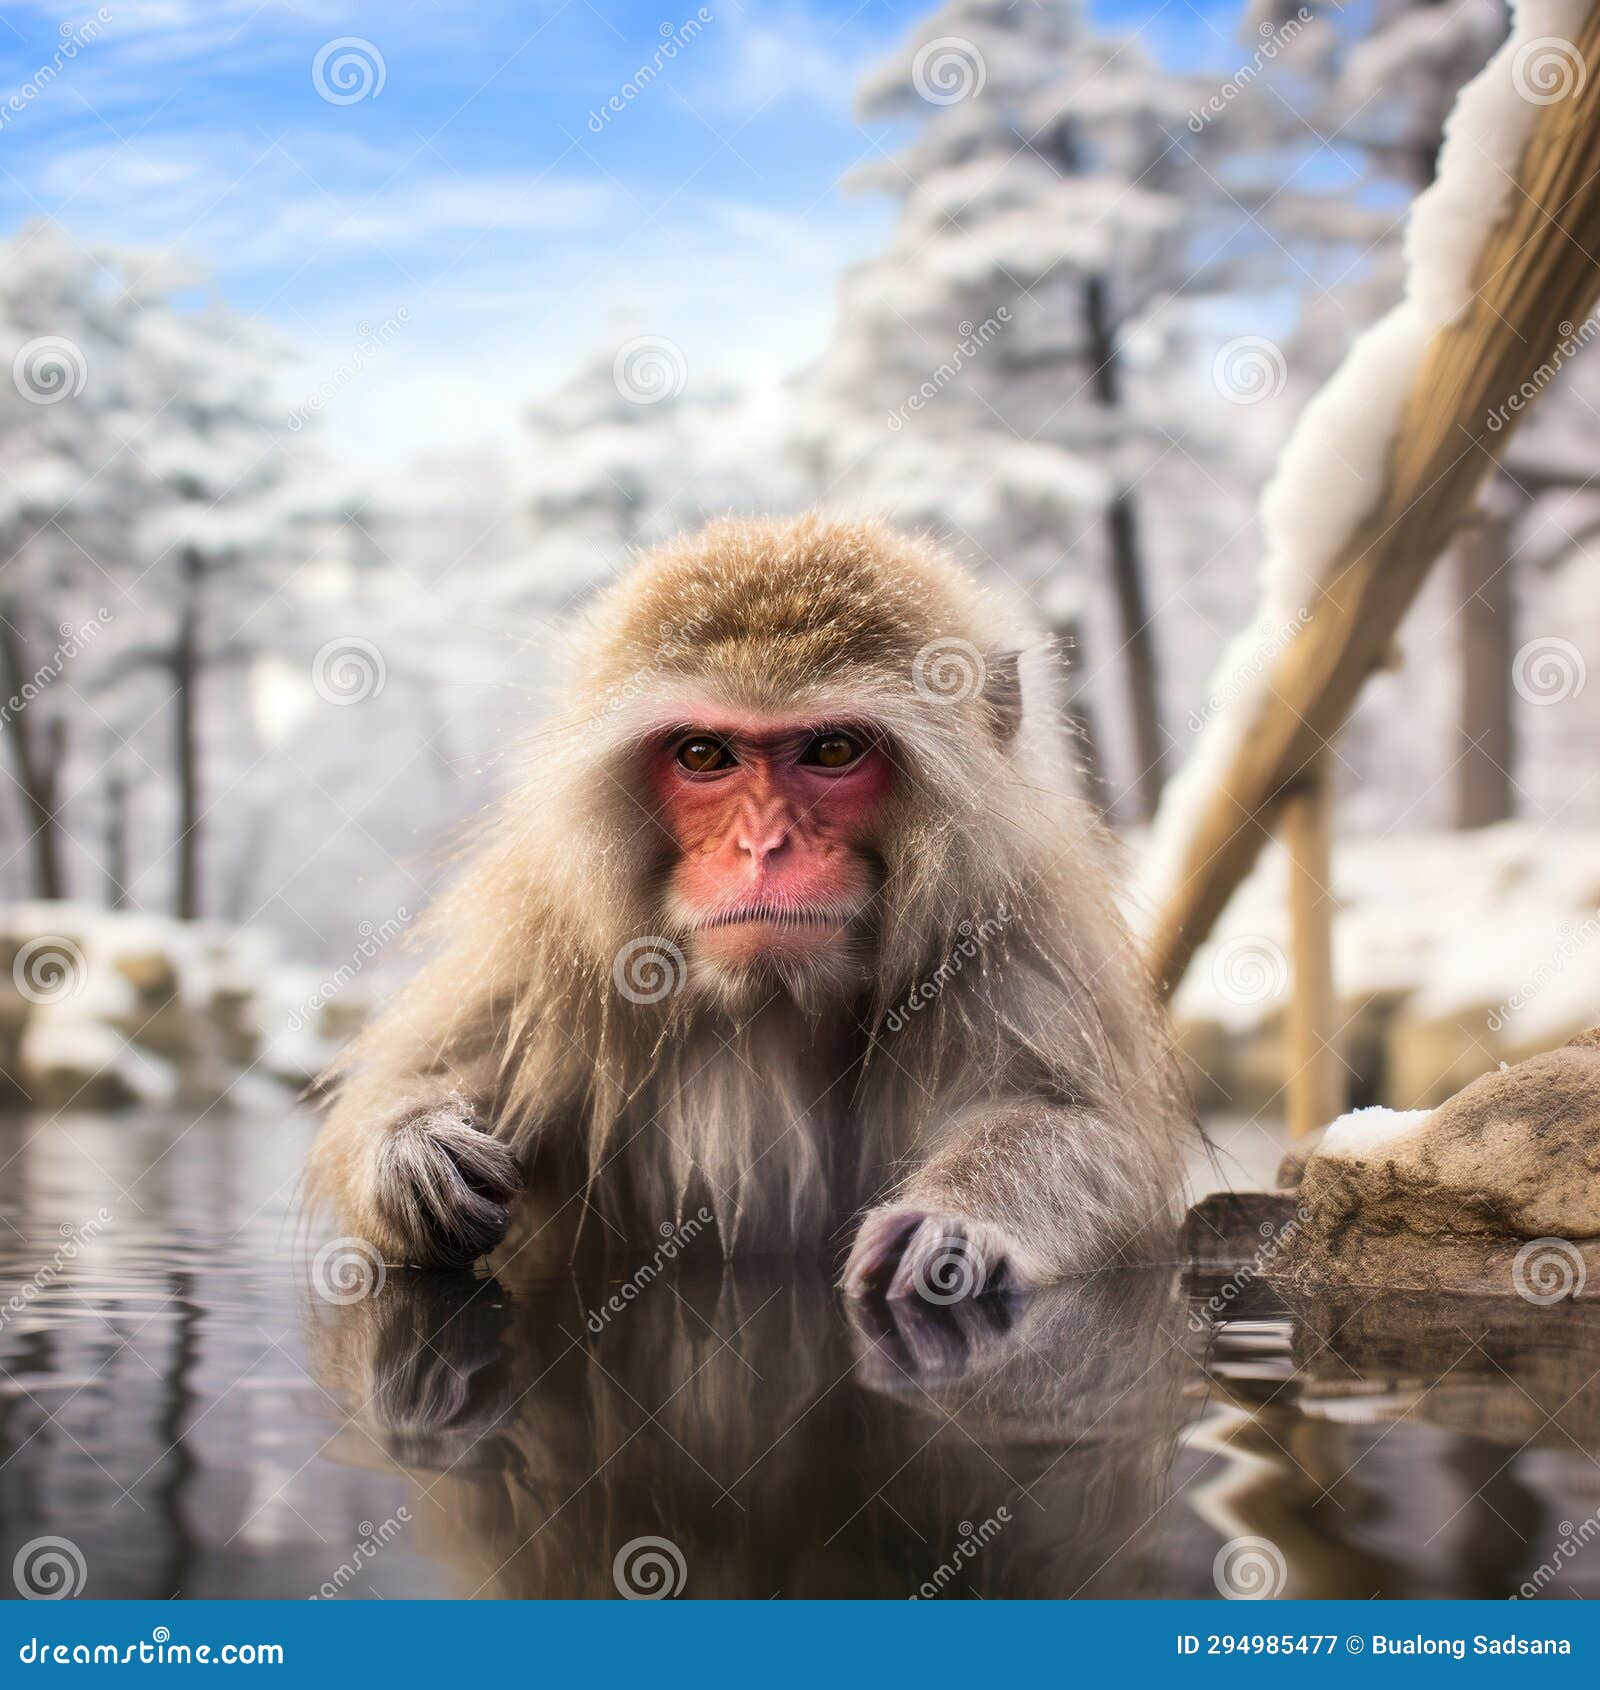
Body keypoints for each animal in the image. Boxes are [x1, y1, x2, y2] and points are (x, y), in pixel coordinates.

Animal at [305, 514, 1191, 1298]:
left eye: (832, 750)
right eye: (704, 754)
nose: (761, 847)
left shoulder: (1013, 919)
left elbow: (1074, 1122)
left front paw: (954, 1226)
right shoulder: (550, 937)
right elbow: (430, 1071)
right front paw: (414, 1153)